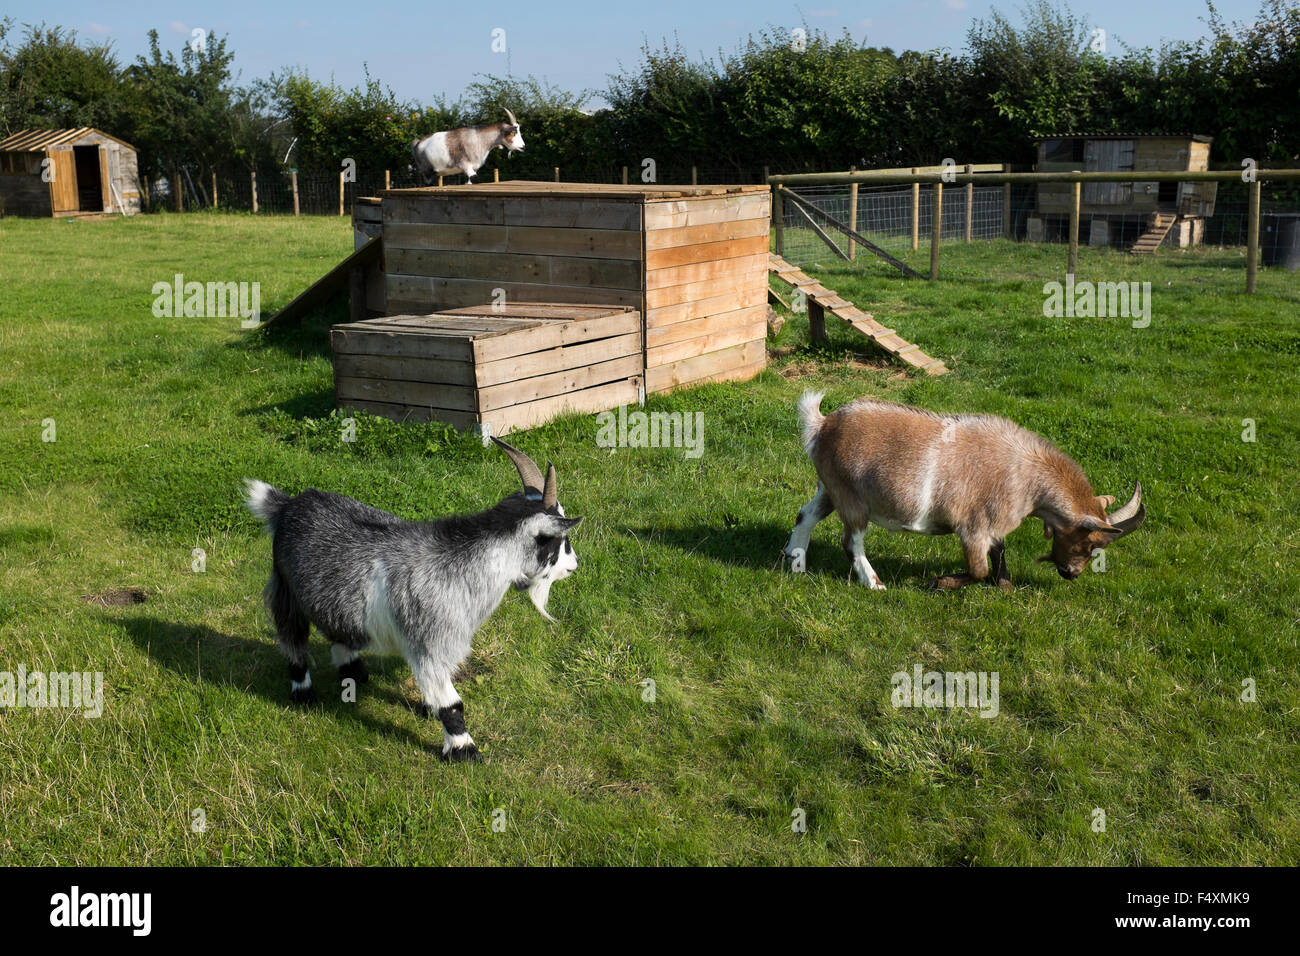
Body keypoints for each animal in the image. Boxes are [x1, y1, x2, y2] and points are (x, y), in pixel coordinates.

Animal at [243, 438, 579, 761]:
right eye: (561, 540)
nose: (574, 565)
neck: (463, 564)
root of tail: (288, 505)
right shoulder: (431, 643)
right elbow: (453, 705)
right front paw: (463, 751)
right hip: (286, 592)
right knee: (293, 641)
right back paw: (303, 694)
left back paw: (354, 672)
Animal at [783, 393, 1145, 590]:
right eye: (1088, 543)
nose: (1071, 574)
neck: (1027, 478)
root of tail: (822, 425)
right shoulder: (973, 527)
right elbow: (978, 569)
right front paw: (939, 583)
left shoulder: (993, 526)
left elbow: (999, 551)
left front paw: (1005, 585)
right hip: (851, 496)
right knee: (851, 540)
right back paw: (874, 583)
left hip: (829, 487)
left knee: (805, 515)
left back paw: (795, 561)